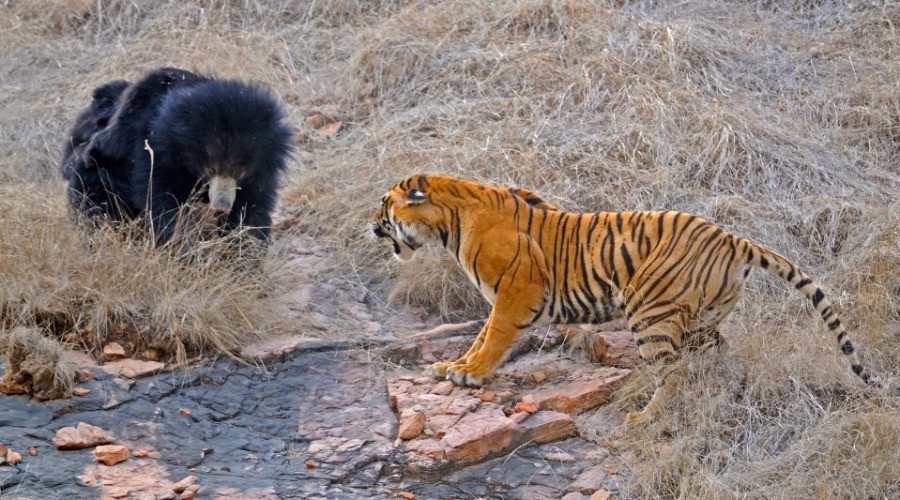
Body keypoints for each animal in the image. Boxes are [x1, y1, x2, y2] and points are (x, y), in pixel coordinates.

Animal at [371, 174, 881, 425]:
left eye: (385, 205)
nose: (371, 225)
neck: (448, 224)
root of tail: (733, 237)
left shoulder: (516, 294)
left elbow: (492, 337)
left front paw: (469, 374)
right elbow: (479, 337)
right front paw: (451, 367)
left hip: (648, 310)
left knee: (672, 375)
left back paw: (643, 418)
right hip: (700, 320)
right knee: (713, 356)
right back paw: (716, 393)